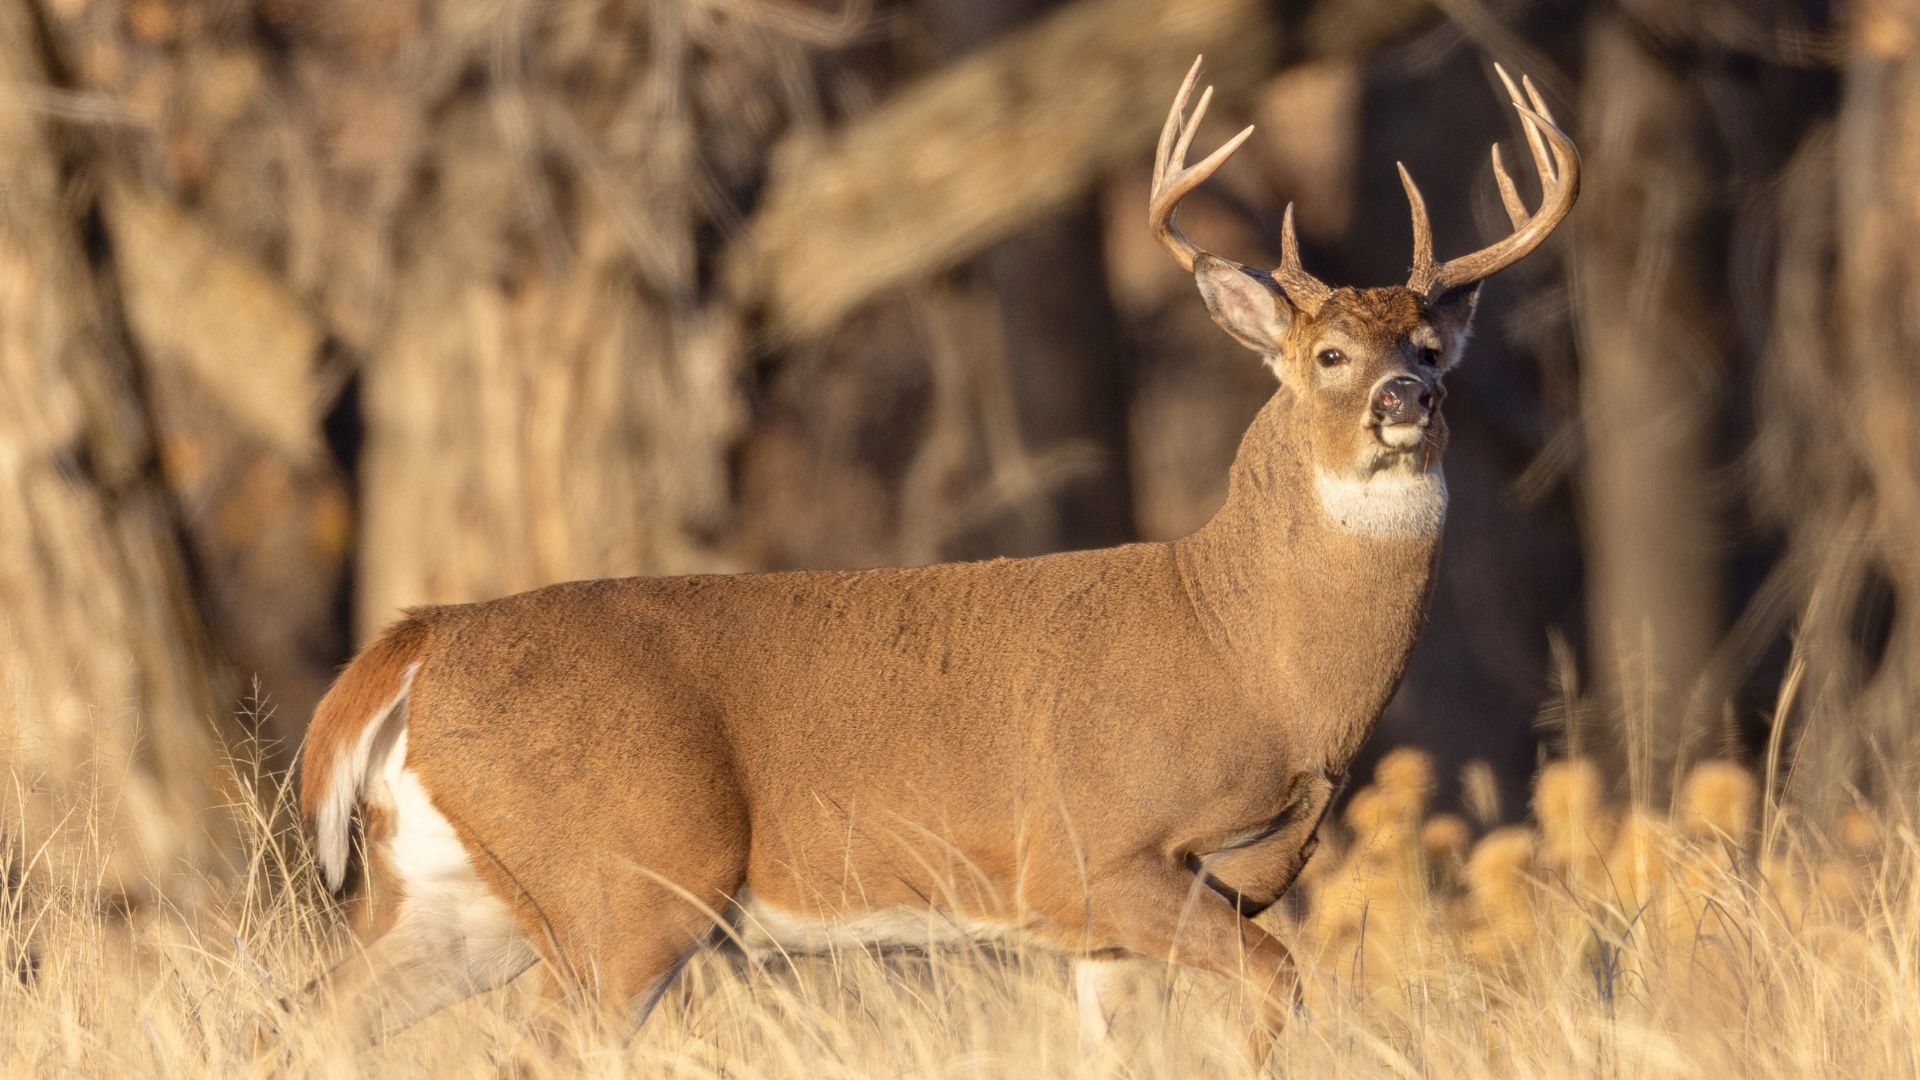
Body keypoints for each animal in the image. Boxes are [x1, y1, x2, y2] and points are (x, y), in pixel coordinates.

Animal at [290, 56, 1577, 1060]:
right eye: (1325, 355)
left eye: (1430, 346)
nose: (1407, 401)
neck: (1252, 652)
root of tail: (418, 644)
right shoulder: (1096, 854)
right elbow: (1279, 988)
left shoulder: (1110, 931)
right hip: (631, 878)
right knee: (534, 1041)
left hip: (456, 895)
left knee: (312, 1016)